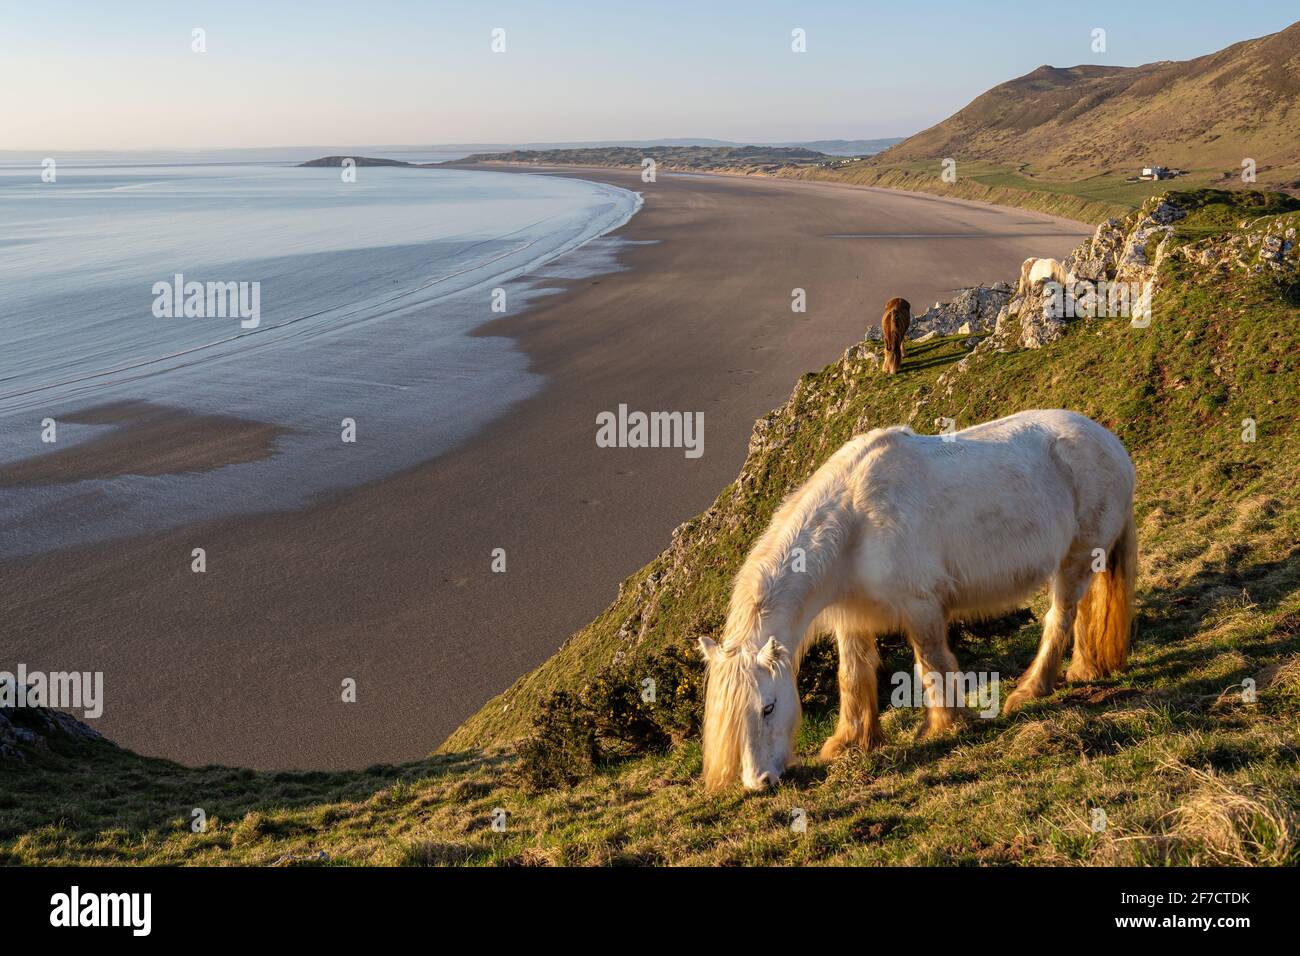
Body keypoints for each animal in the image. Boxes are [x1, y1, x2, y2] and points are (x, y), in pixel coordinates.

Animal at [699, 409, 1136, 791]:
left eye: (768, 707)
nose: (759, 782)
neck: (854, 523)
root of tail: (1110, 443)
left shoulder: (920, 604)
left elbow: (931, 662)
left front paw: (946, 725)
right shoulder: (851, 617)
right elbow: (852, 675)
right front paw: (851, 742)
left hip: (1076, 558)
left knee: (1059, 618)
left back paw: (1030, 690)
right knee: (1083, 614)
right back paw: (1085, 670)